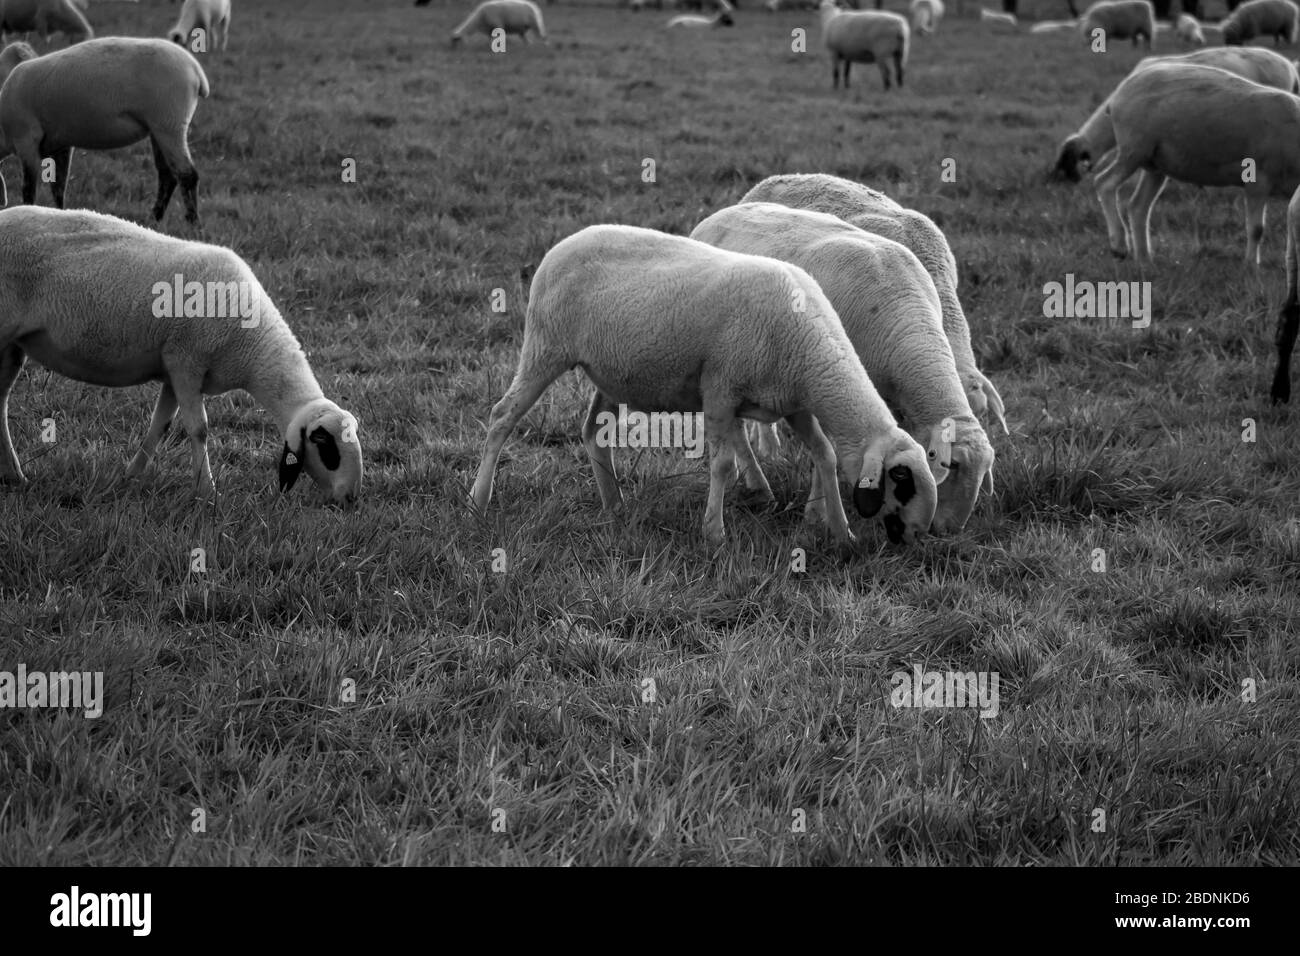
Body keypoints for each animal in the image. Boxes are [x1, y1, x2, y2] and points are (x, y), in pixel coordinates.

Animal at [0, 38, 208, 224]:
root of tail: (195, 70)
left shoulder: (26, 139)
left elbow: (29, 189)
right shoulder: (61, 145)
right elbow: (59, 187)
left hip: (169, 123)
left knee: (187, 175)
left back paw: (193, 224)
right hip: (159, 128)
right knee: (167, 175)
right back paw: (155, 218)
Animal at [0, 207, 363, 503]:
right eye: (325, 444)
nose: (350, 499)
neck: (254, 348)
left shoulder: (173, 370)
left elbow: (159, 426)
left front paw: (131, 477)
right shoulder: (187, 362)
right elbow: (199, 428)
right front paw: (207, 492)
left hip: (13, 345)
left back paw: (15, 476)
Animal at [469, 224, 938, 546]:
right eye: (901, 479)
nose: (914, 540)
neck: (809, 350)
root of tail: (561, 245)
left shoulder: (793, 403)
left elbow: (824, 453)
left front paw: (840, 531)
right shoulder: (719, 390)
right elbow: (723, 464)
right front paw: (714, 533)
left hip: (610, 373)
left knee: (591, 432)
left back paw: (614, 505)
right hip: (545, 347)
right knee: (501, 416)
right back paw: (479, 499)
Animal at [691, 202, 996, 535]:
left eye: (984, 472)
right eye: (951, 465)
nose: (950, 531)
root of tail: (723, 212)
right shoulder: (831, 382)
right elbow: (827, 452)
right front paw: (816, 512)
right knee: (736, 430)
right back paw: (757, 484)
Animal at [1091, 60, 1300, 265]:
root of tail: (1118, 95)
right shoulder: (1258, 180)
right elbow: (1256, 229)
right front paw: (1250, 266)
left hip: (1155, 163)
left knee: (1138, 207)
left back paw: (1144, 259)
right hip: (1134, 148)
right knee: (1104, 183)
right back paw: (1119, 245)